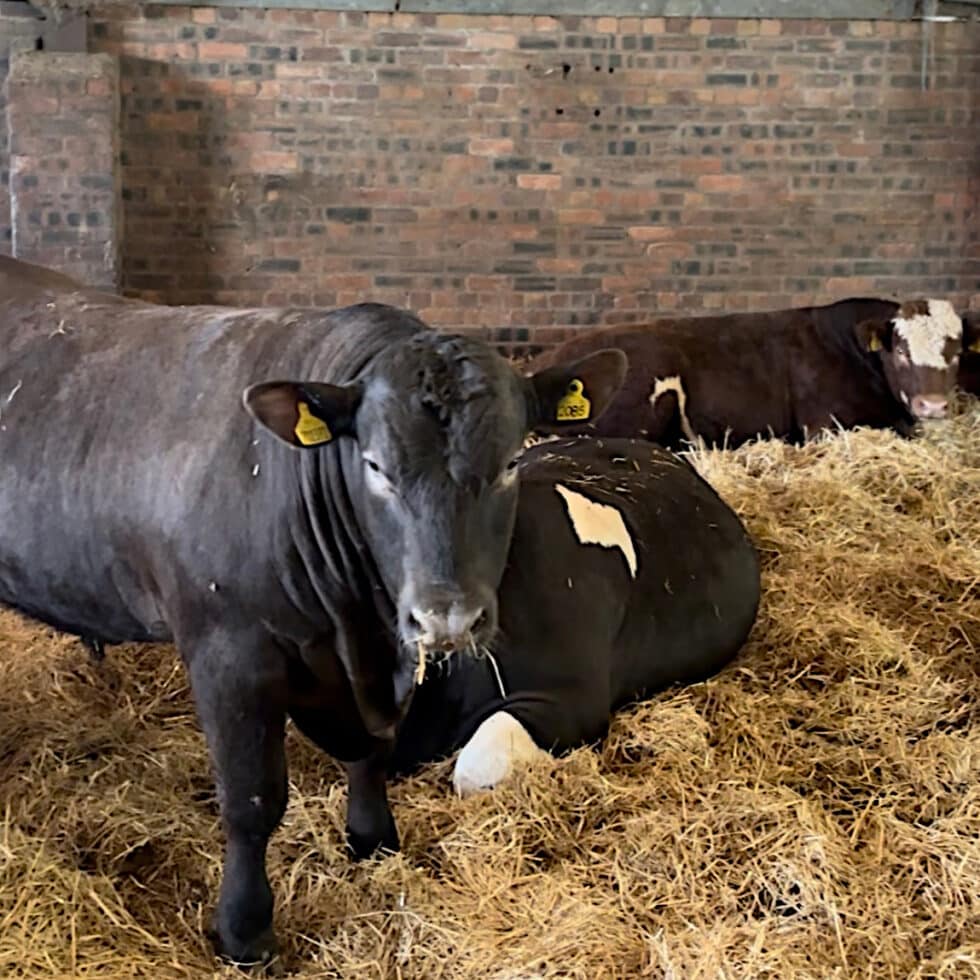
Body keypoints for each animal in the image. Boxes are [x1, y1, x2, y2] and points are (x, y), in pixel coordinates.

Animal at [0, 256, 627, 967]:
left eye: (514, 459)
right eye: (375, 465)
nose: (447, 618)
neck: (353, 625)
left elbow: (372, 750)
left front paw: (373, 840)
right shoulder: (229, 653)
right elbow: (252, 799)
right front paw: (244, 931)